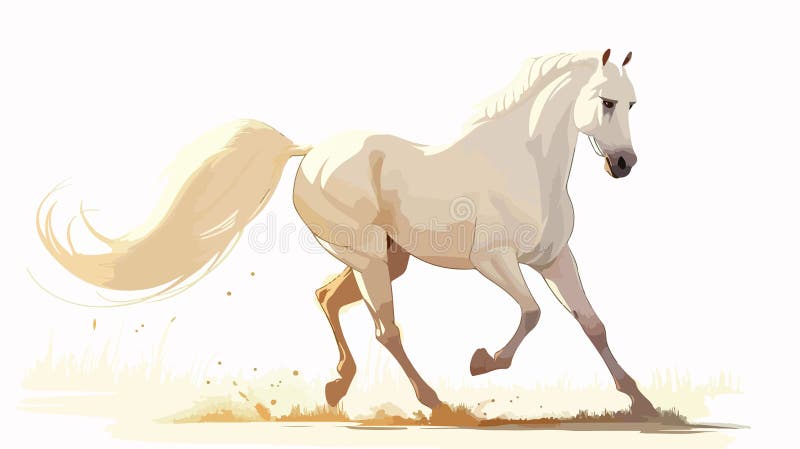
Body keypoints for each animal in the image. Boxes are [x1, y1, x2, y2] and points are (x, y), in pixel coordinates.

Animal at [36, 49, 658, 416]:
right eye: (606, 101)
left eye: (633, 102)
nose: (624, 164)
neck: (524, 164)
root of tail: (309, 151)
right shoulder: (495, 261)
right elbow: (532, 313)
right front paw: (482, 361)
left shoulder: (556, 259)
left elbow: (593, 323)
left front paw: (640, 400)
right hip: (368, 257)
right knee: (385, 329)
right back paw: (432, 402)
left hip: (384, 257)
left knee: (328, 297)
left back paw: (340, 386)